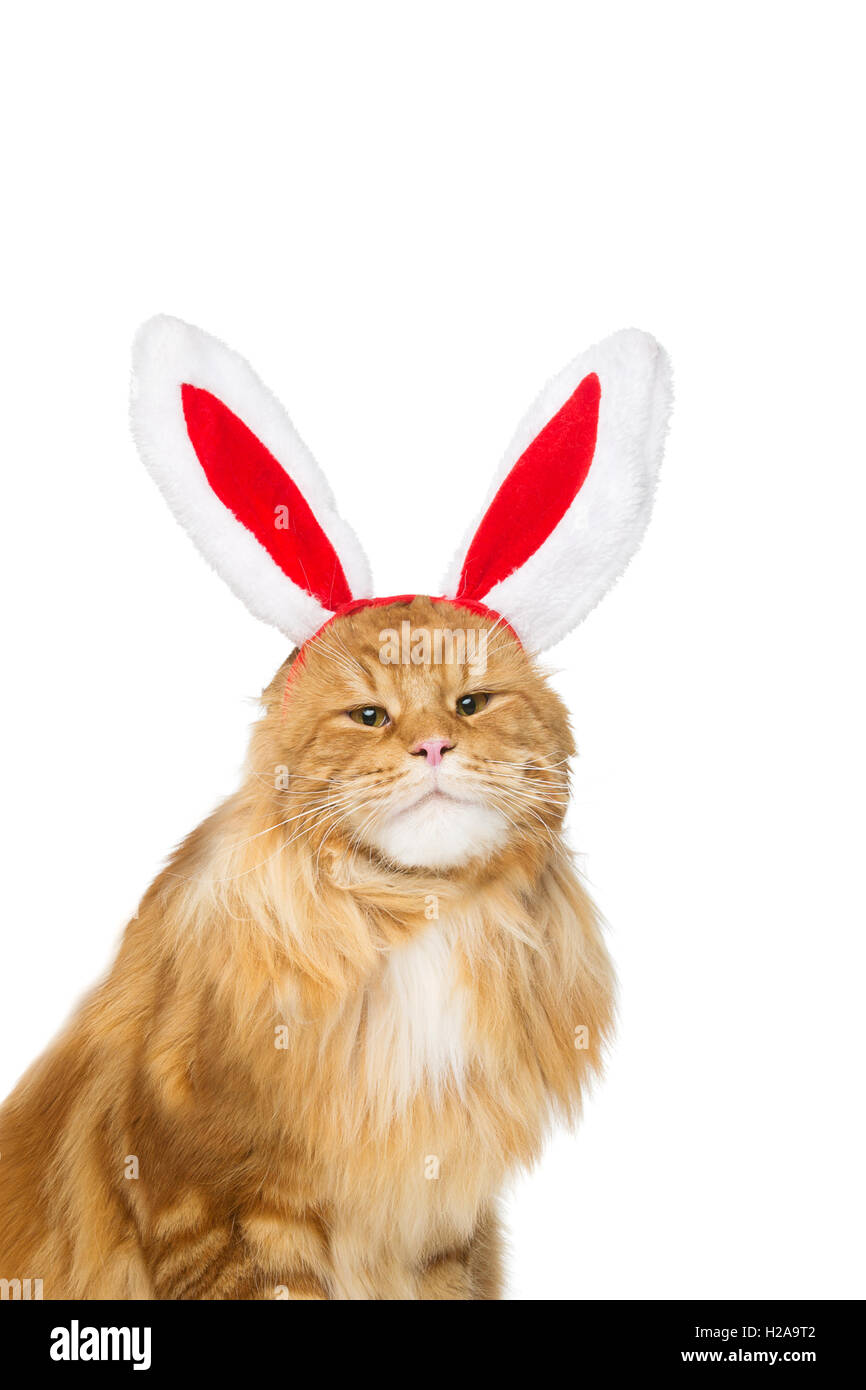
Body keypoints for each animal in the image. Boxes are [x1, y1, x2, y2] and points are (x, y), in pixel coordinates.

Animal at [0, 317, 671, 1299]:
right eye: (370, 717)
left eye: (472, 704)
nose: (433, 747)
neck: (418, 924)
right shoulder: (224, 1208)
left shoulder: (442, 1225)